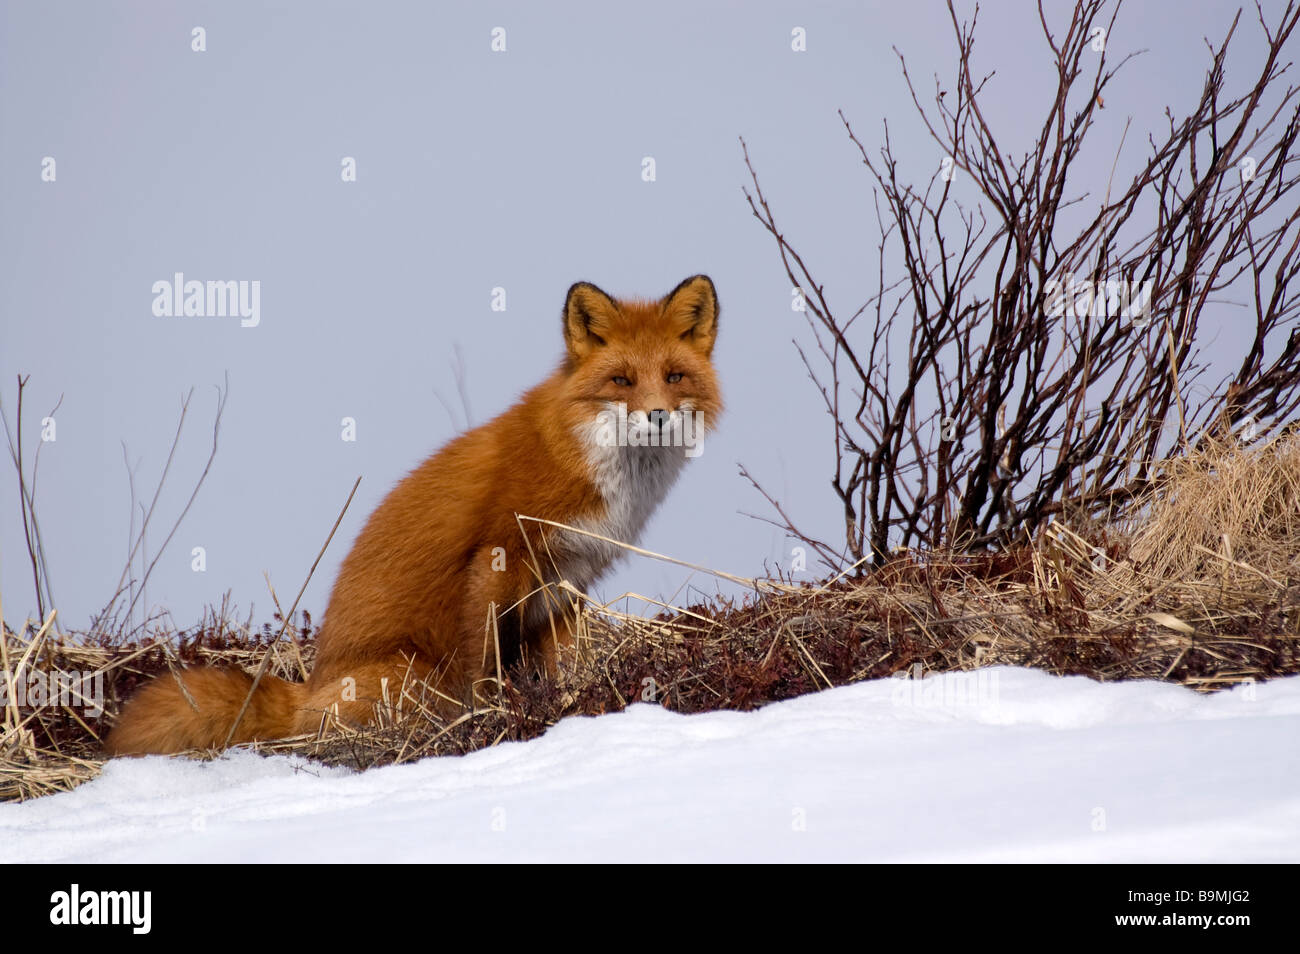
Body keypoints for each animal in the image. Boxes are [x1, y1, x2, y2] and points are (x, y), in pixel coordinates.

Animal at [106, 275, 722, 755]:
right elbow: (483, 667)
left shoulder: (567, 581)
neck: (588, 465)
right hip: (414, 675)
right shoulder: (497, 559)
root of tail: (309, 690)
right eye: (621, 380)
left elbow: (568, 665)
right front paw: (491, 721)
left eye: (674, 377)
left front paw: (569, 704)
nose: (658, 417)